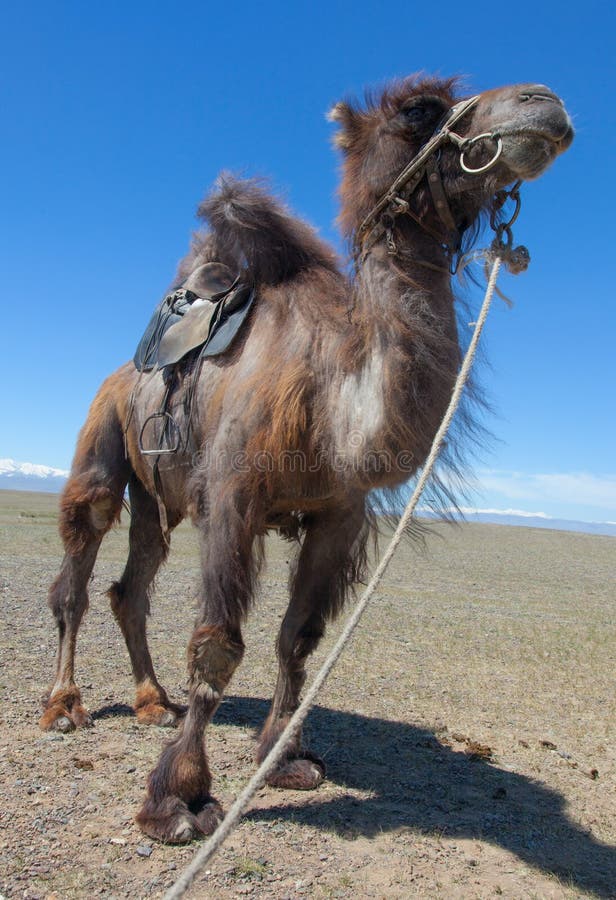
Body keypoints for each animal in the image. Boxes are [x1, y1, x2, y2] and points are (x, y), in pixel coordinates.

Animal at [40, 75, 573, 843]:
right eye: (419, 109)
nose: (543, 101)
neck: (331, 394)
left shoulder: (339, 515)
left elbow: (299, 639)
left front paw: (284, 760)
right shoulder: (233, 496)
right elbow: (219, 644)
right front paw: (179, 799)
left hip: (159, 495)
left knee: (132, 583)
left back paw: (153, 701)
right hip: (102, 442)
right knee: (78, 573)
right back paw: (65, 706)